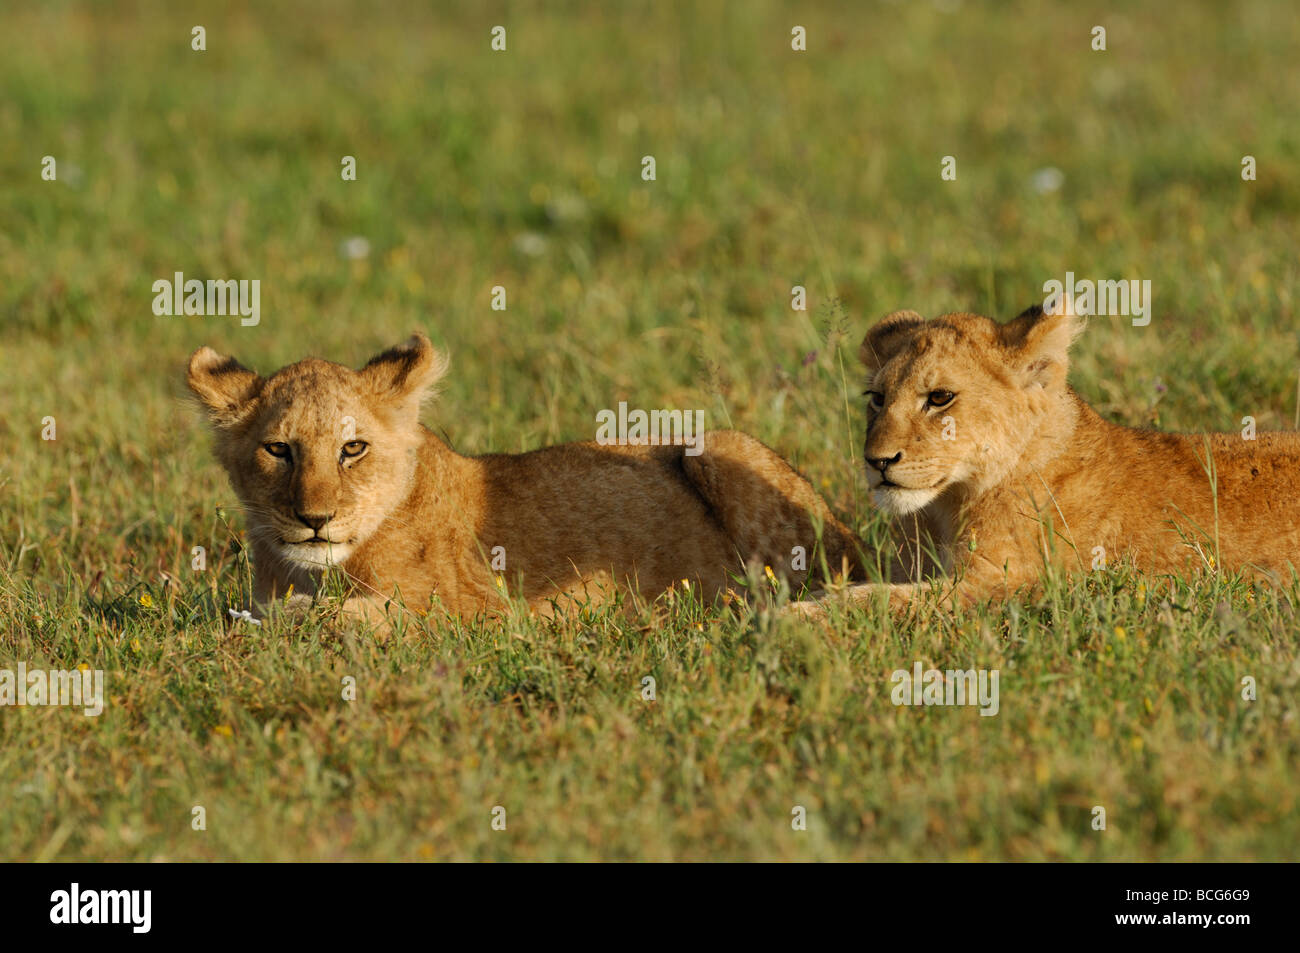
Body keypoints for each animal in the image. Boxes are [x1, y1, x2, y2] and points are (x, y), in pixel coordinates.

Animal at [186, 332, 863, 627]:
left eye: (352, 449)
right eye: (278, 450)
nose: (315, 519)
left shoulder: (483, 611)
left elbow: (347, 617)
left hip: (717, 445)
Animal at [788, 300, 1300, 616]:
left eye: (939, 398)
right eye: (876, 399)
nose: (876, 461)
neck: (947, 506)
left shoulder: (1000, 587)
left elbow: (878, 603)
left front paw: (790, 618)